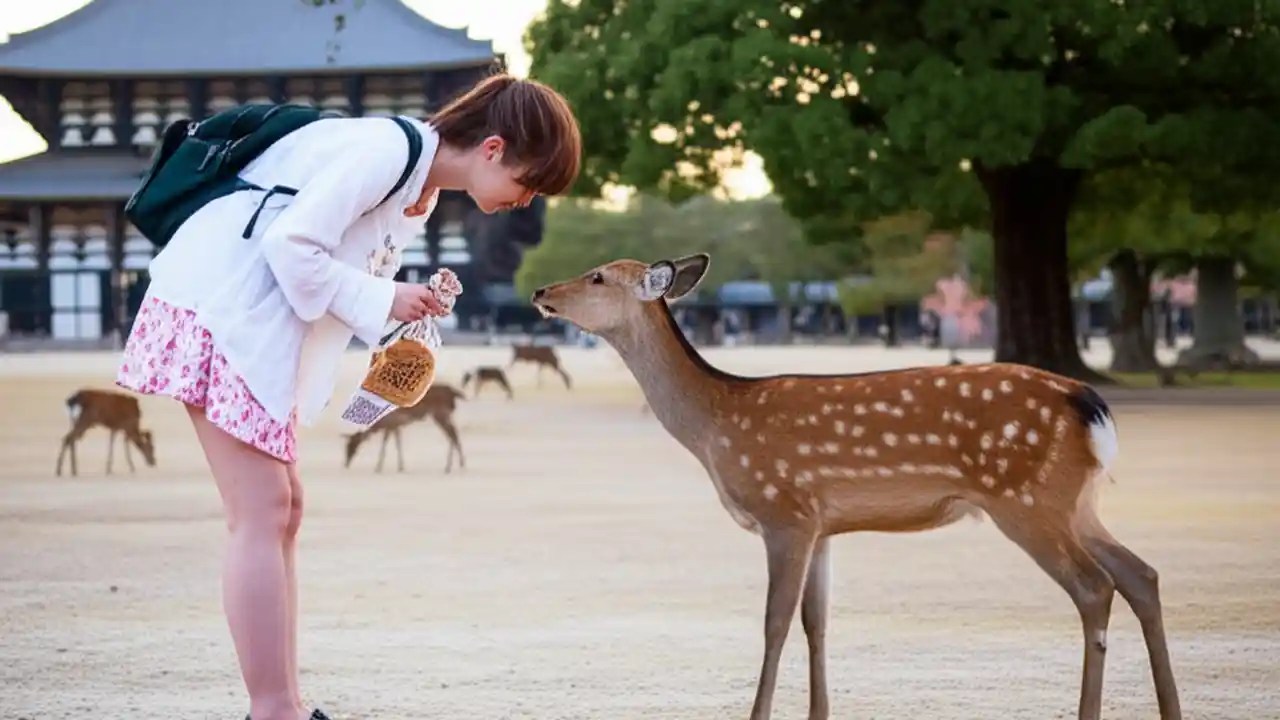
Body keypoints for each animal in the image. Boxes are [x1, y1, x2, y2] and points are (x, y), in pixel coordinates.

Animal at [531, 253, 1181, 720]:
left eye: (597, 275)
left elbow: (774, 622)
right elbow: (817, 623)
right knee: (1141, 574)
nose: (540, 293)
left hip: (1025, 498)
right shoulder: (823, 525)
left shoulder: (784, 511)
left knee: (1095, 587)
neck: (716, 426)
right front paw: (819, 714)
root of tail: (1089, 403)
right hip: (1076, 500)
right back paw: (1172, 709)